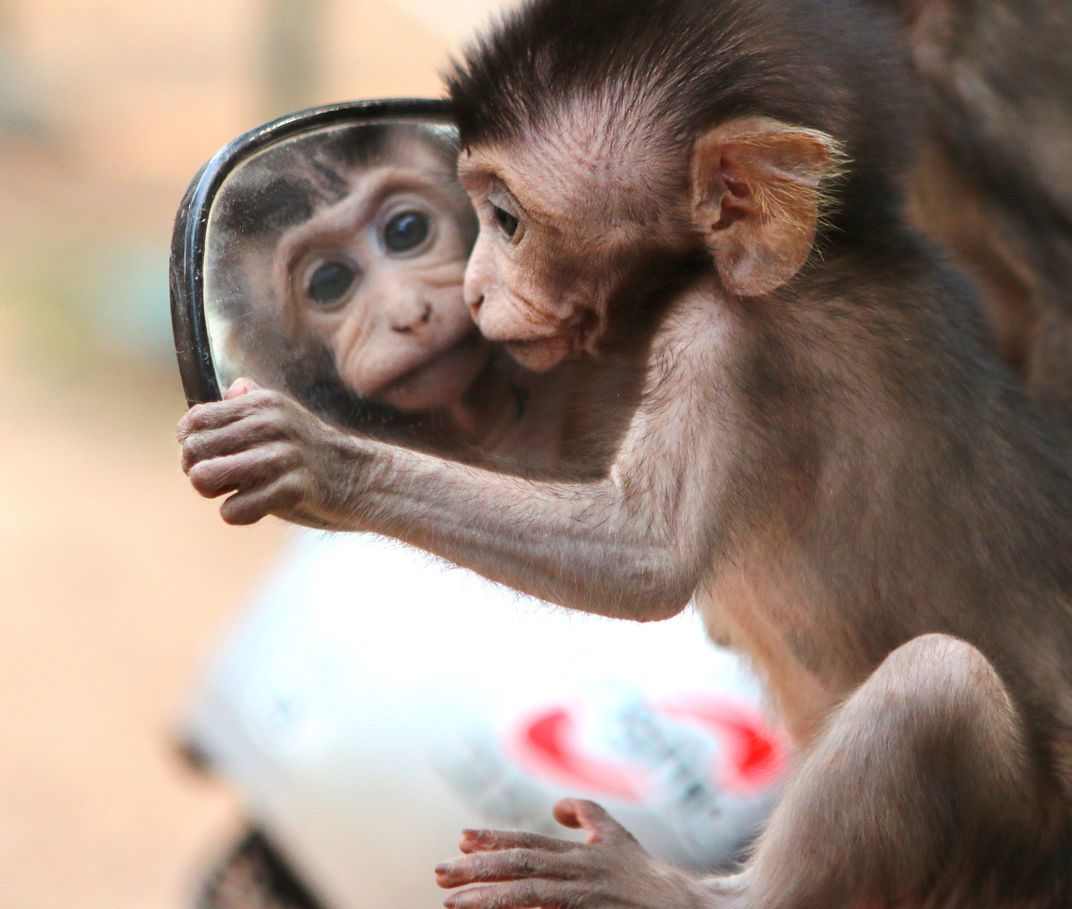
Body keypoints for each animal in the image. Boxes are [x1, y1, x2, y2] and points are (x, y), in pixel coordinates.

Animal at [178, 0, 1072, 905]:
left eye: (505, 221)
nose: (468, 294)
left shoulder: (718, 334)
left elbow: (641, 557)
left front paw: (313, 457)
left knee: (938, 680)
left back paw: (665, 886)